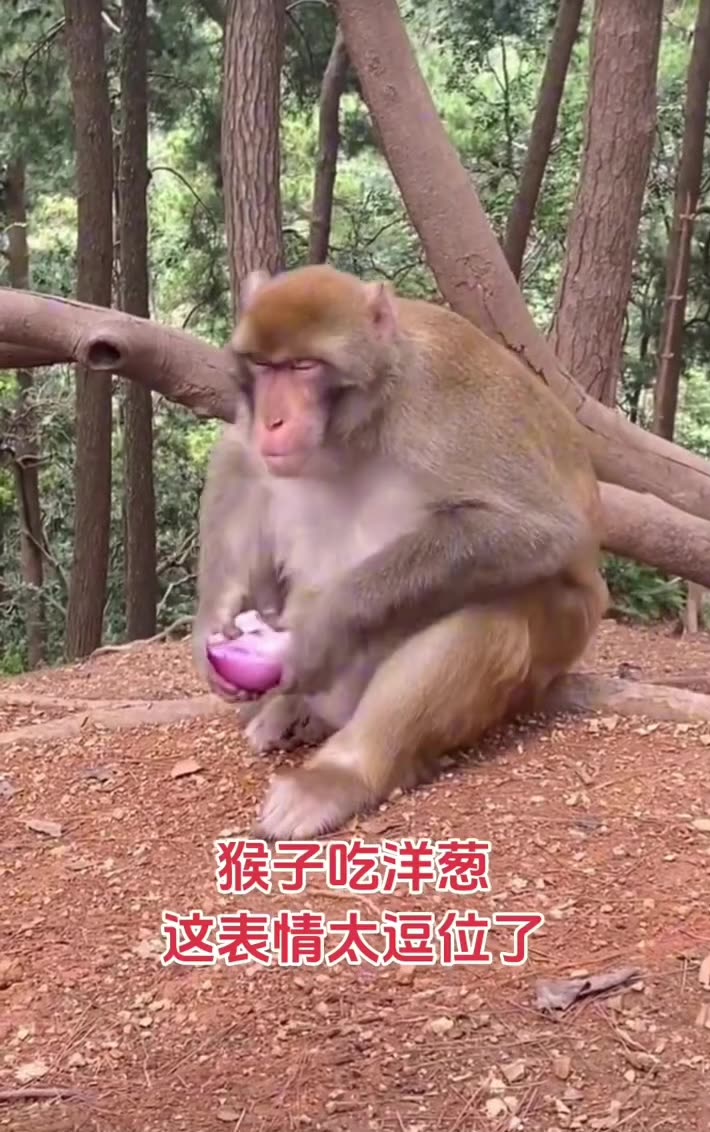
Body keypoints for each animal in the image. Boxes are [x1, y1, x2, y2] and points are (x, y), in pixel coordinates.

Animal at [192, 263, 609, 840]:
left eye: (303, 366)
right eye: (264, 366)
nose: (273, 421)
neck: (362, 421)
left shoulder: (441, 403)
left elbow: (538, 528)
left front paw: (321, 628)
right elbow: (241, 457)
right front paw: (215, 614)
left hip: (554, 646)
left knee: (495, 610)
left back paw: (345, 772)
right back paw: (289, 710)